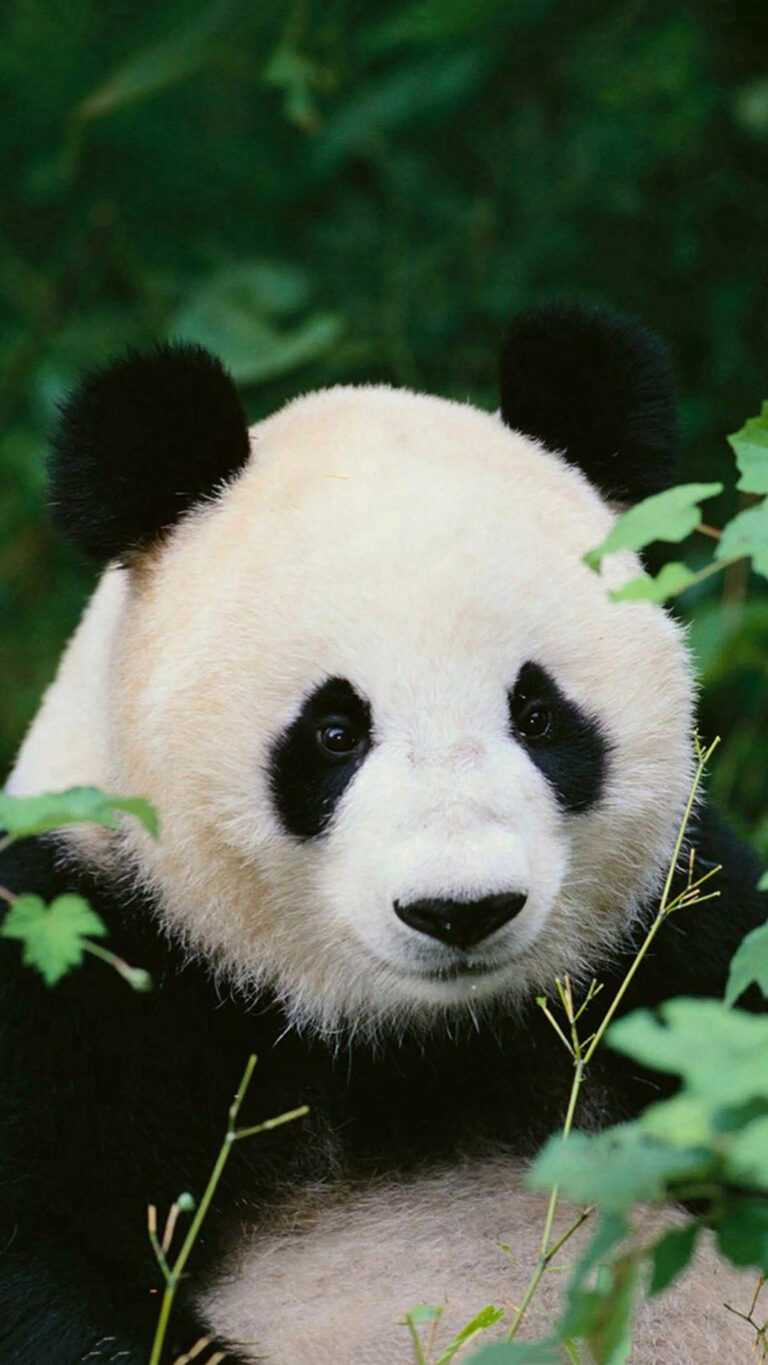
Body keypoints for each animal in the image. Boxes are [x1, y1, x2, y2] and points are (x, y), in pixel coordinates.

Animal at [2, 304, 766, 1365]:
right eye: (334, 731)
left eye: (537, 714)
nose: (462, 910)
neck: (418, 1044)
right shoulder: (85, 957)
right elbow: (46, 1271)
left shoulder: (682, 932)